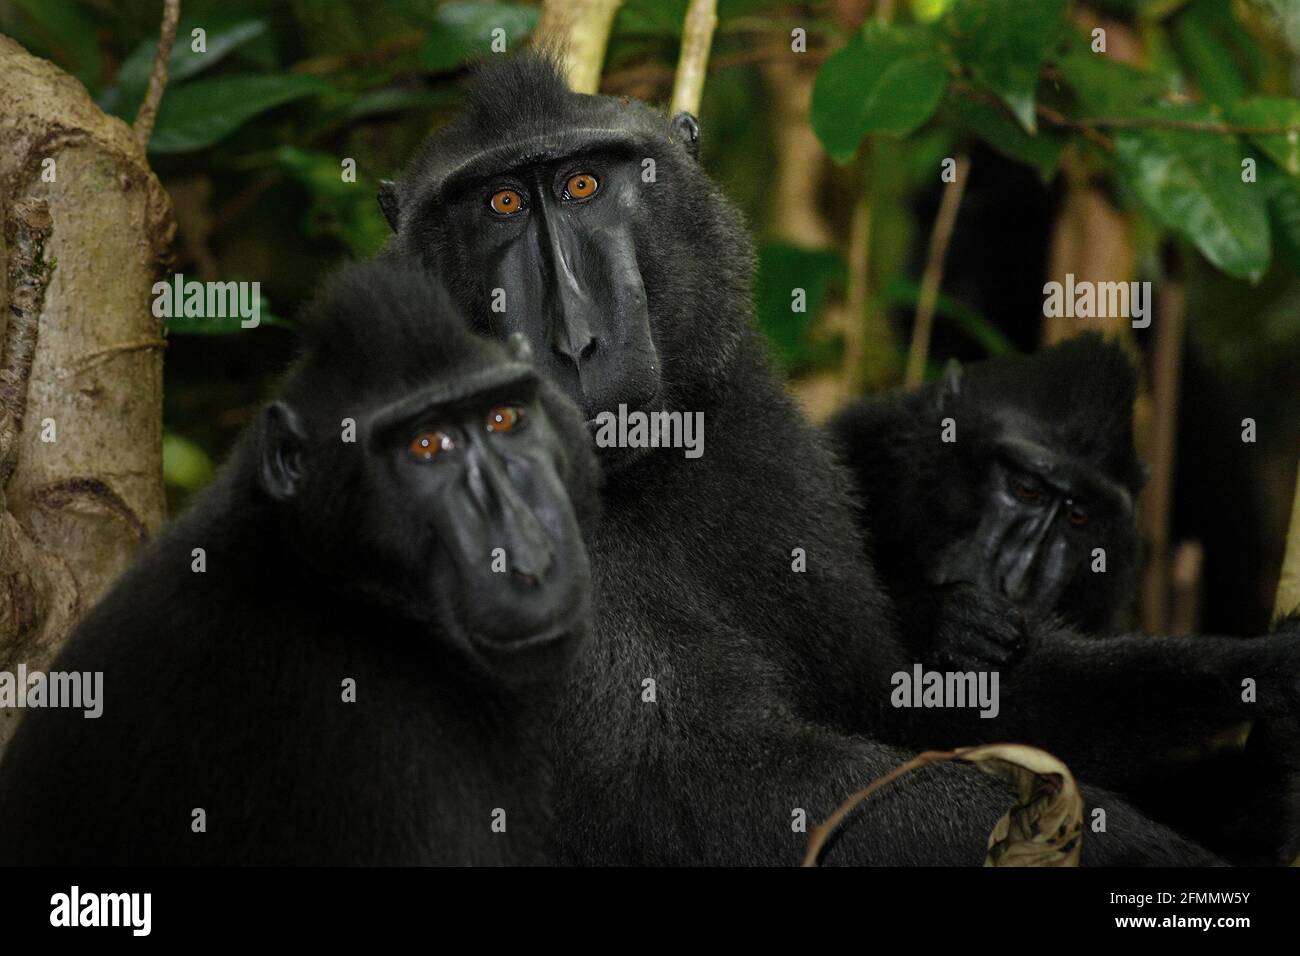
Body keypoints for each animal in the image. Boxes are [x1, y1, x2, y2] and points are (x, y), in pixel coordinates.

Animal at [375, 55, 1233, 865]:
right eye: (501, 204)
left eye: (583, 183)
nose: (576, 344)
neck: (637, 479)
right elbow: (732, 786)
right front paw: (1140, 847)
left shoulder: (751, 423)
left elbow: (888, 700)